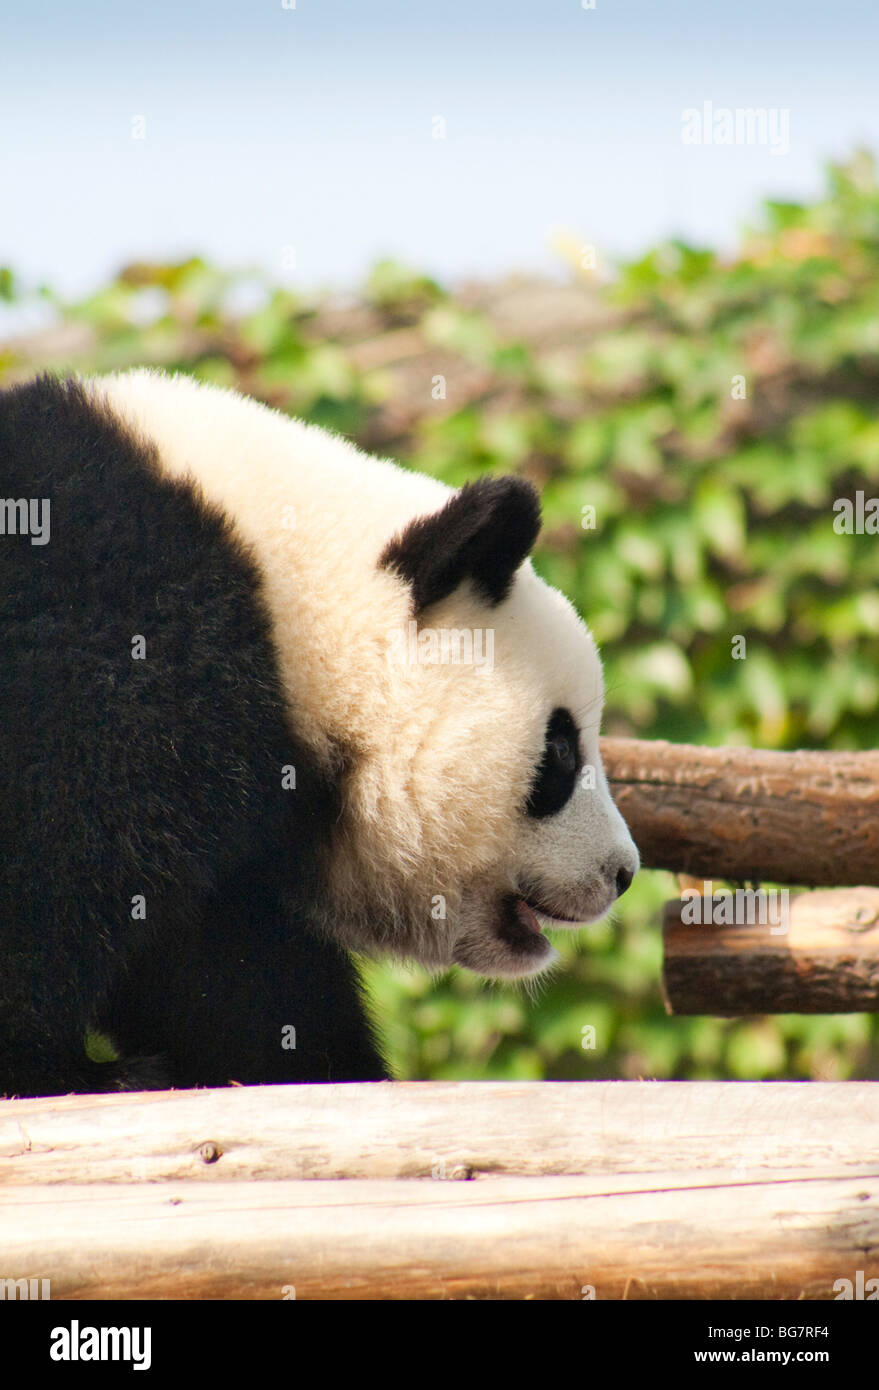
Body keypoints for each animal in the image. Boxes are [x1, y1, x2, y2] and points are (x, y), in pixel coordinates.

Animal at [0, 369, 638, 1098]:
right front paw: (70, 1072)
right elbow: (49, 852)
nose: (622, 873)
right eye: (559, 750)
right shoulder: (119, 647)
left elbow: (227, 961)